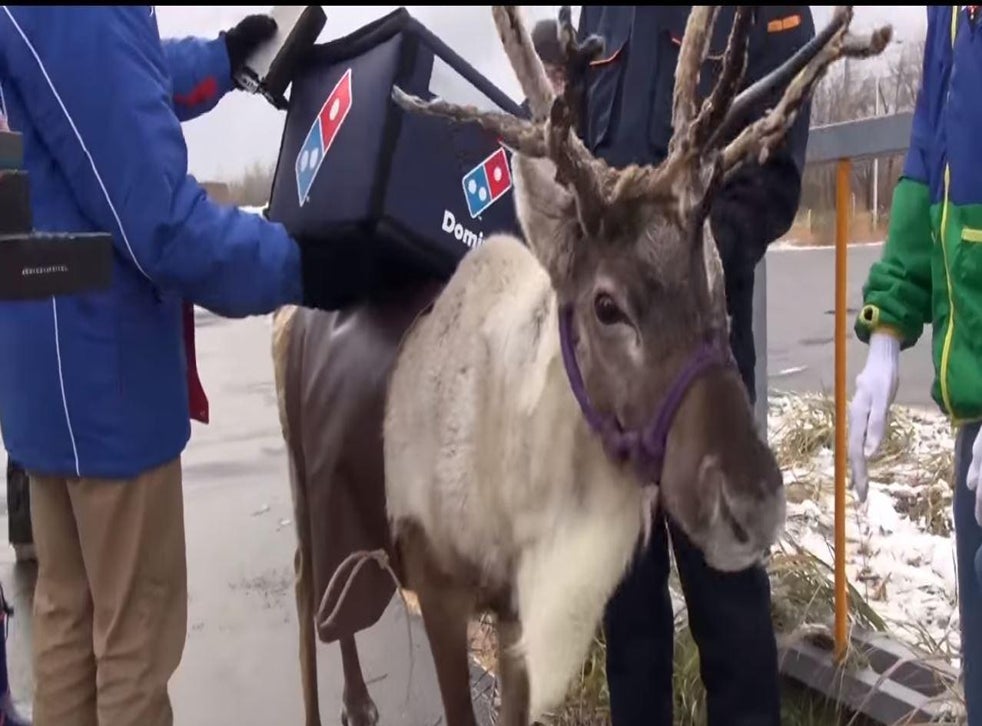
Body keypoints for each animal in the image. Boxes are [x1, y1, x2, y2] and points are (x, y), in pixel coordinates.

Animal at [271, 6, 891, 726]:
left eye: (717, 283)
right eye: (606, 305)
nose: (753, 505)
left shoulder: (512, 610)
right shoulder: (437, 585)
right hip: (302, 472)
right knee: (304, 582)